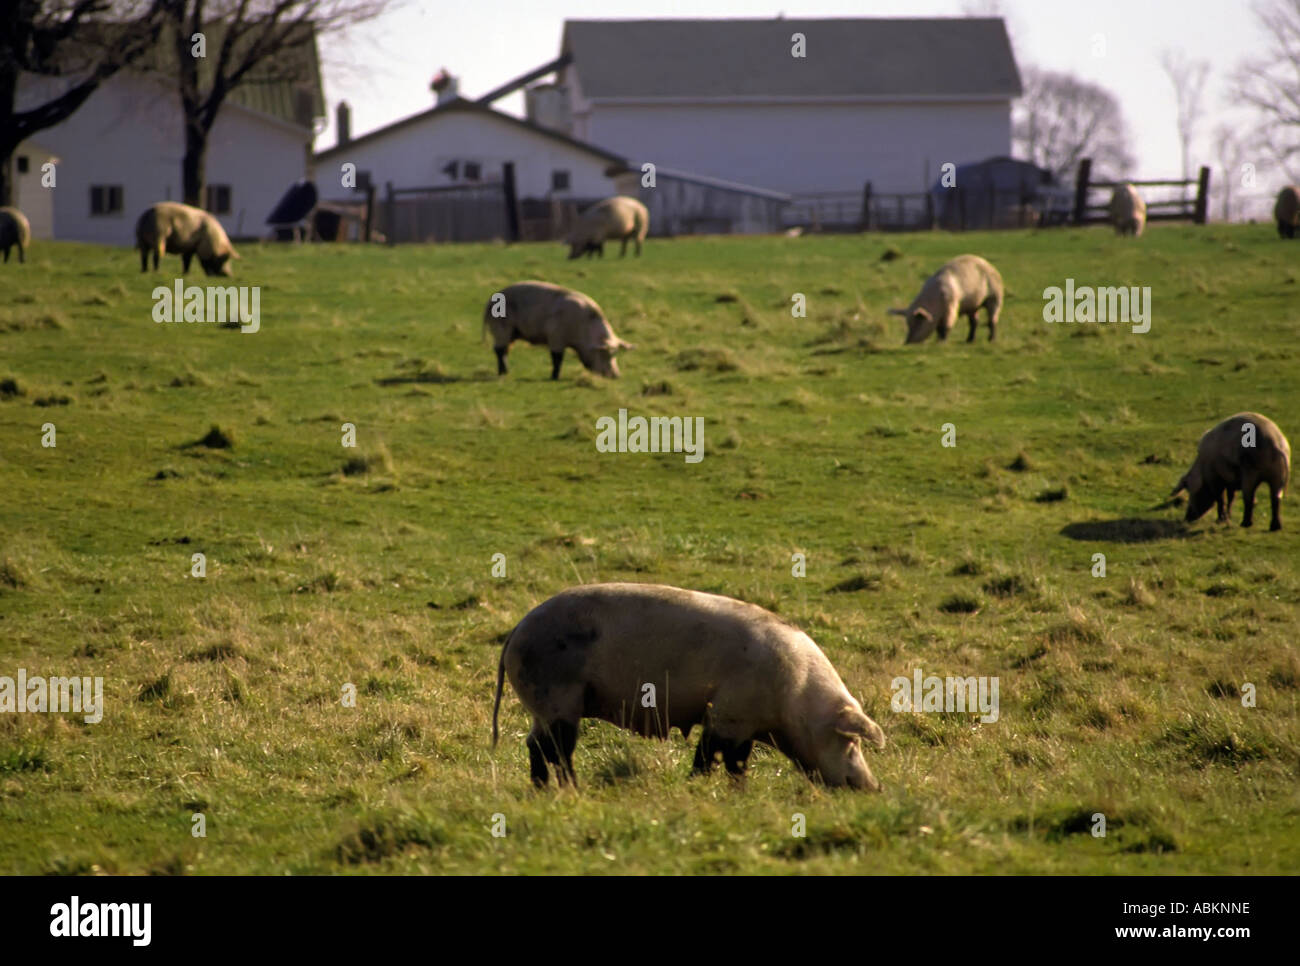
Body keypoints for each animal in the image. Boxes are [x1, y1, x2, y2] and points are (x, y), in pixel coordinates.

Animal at [482, 281, 633, 380]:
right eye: (606, 355)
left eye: (615, 354)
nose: (617, 376)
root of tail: (489, 303)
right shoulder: (556, 336)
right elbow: (557, 358)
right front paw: (554, 378)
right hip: (501, 328)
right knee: (499, 350)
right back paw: (503, 373)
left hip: (510, 333)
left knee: (505, 350)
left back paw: (506, 372)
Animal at [491, 583, 886, 790]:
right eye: (851, 742)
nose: (874, 786)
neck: (795, 699)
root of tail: (516, 631)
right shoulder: (729, 713)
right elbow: (712, 755)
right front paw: (704, 786)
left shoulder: (743, 723)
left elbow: (736, 761)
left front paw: (738, 791)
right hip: (557, 696)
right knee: (557, 747)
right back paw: (573, 788)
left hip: (543, 705)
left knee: (534, 744)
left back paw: (541, 789)